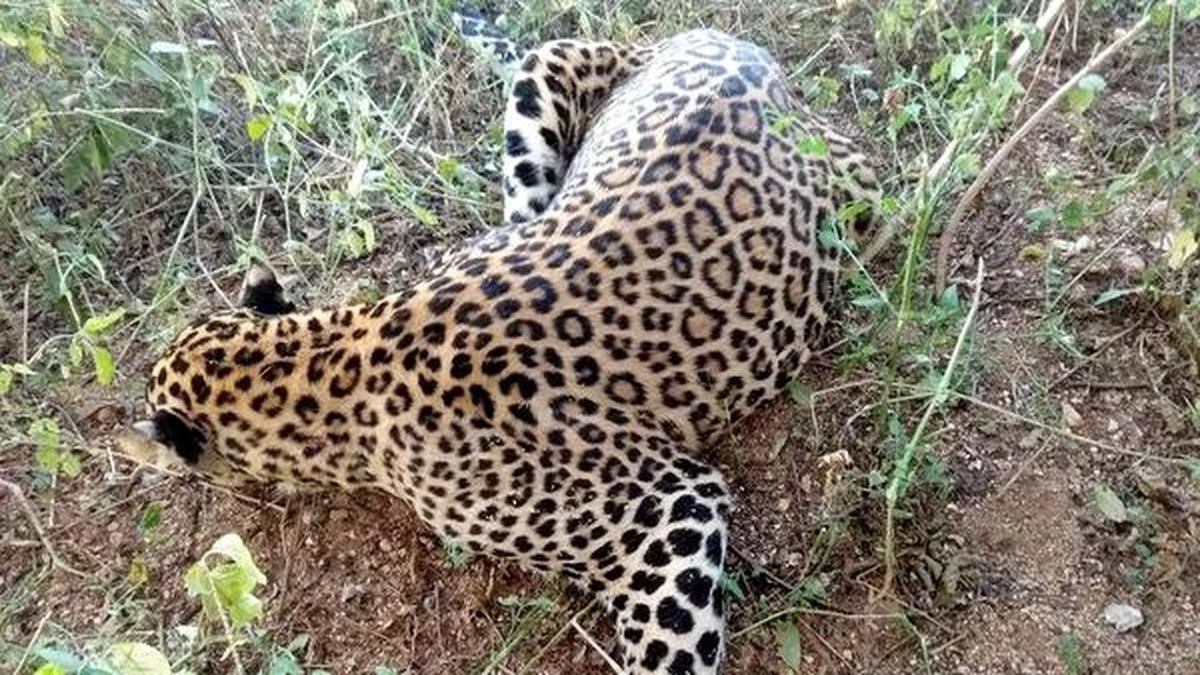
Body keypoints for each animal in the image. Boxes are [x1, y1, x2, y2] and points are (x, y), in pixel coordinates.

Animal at [131, 8, 882, 674]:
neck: (332, 360)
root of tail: (729, 42)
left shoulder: (667, 502)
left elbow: (668, 648)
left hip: (861, 197)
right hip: (535, 92)